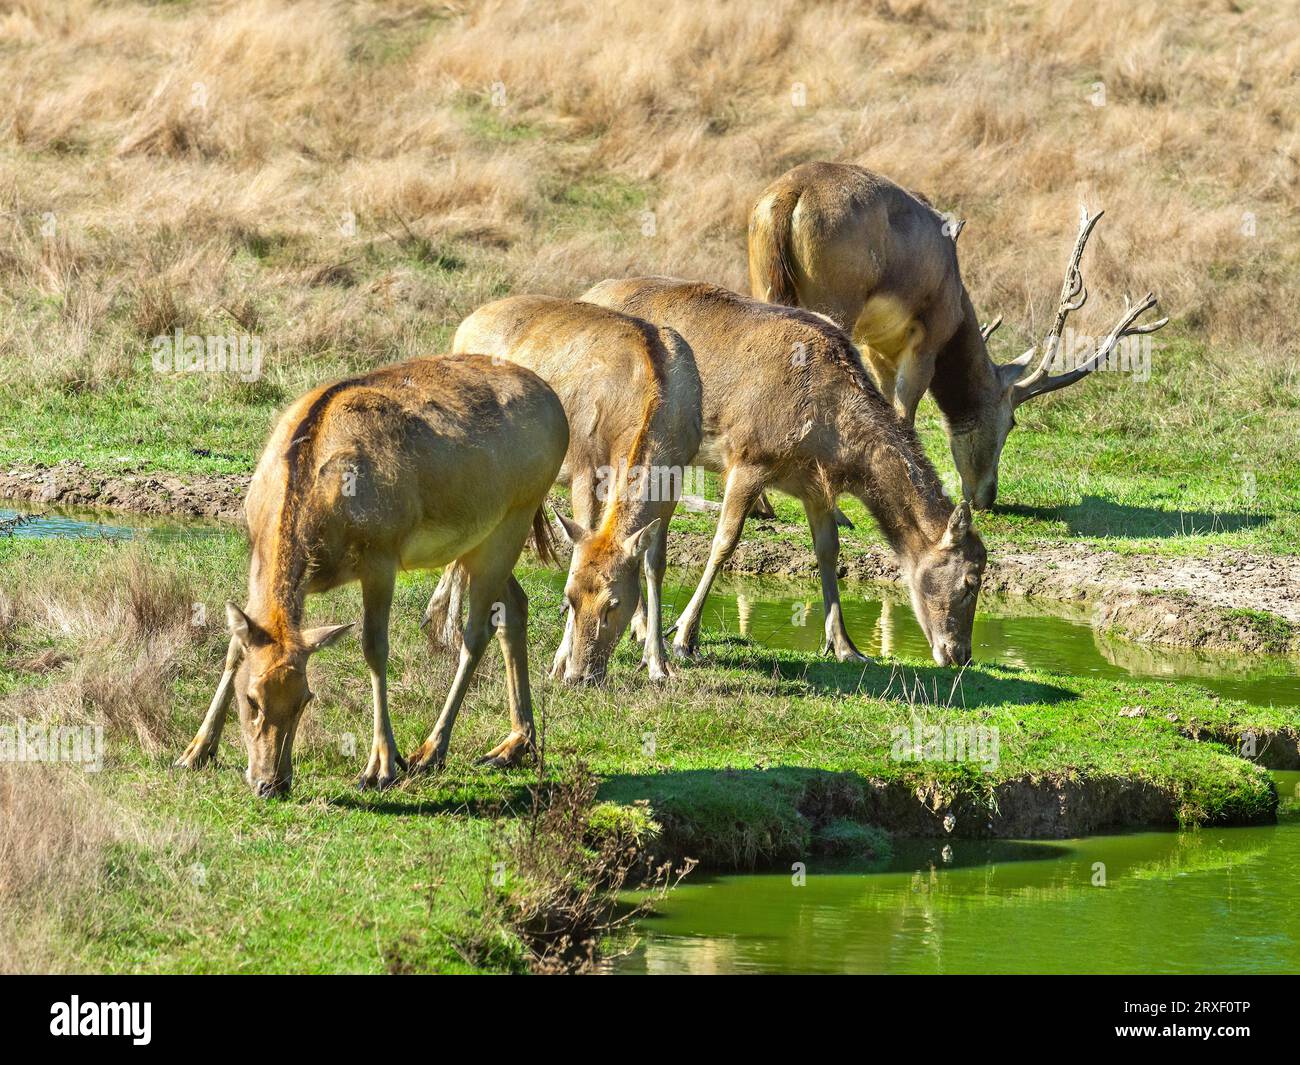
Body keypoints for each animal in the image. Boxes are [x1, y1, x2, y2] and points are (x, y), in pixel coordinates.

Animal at [174, 353, 568, 796]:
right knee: (515, 607)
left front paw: (380, 766)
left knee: (476, 631)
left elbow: (374, 648)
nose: (271, 783)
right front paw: (194, 751)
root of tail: (557, 406)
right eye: (252, 699)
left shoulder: (381, 555)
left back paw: (430, 751)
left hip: (515, 517)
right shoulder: (257, 555)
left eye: (305, 699)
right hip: (480, 539)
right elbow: (235, 646)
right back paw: (516, 744)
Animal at [425, 295, 702, 684]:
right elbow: (577, 550)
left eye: (613, 603)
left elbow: (653, 564)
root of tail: (460, 330)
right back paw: (445, 631)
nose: (580, 675)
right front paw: (558, 662)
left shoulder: (676, 480)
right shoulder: (585, 466)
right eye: (569, 598)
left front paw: (658, 665)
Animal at [582, 277, 986, 666]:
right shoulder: (749, 458)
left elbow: (828, 551)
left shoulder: (815, 486)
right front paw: (683, 636)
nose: (960, 654)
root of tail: (588, 293)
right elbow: (724, 542)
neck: (833, 441)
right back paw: (642, 628)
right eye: (970, 581)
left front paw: (845, 646)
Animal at [748, 162, 1169, 509]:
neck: (958, 299)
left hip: (764, 285)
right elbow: (904, 412)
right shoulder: (929, 334)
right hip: (836, 299)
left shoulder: (876, 348)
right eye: (1011, 422)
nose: (988, 496)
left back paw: (762, 506)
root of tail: (787, 197)